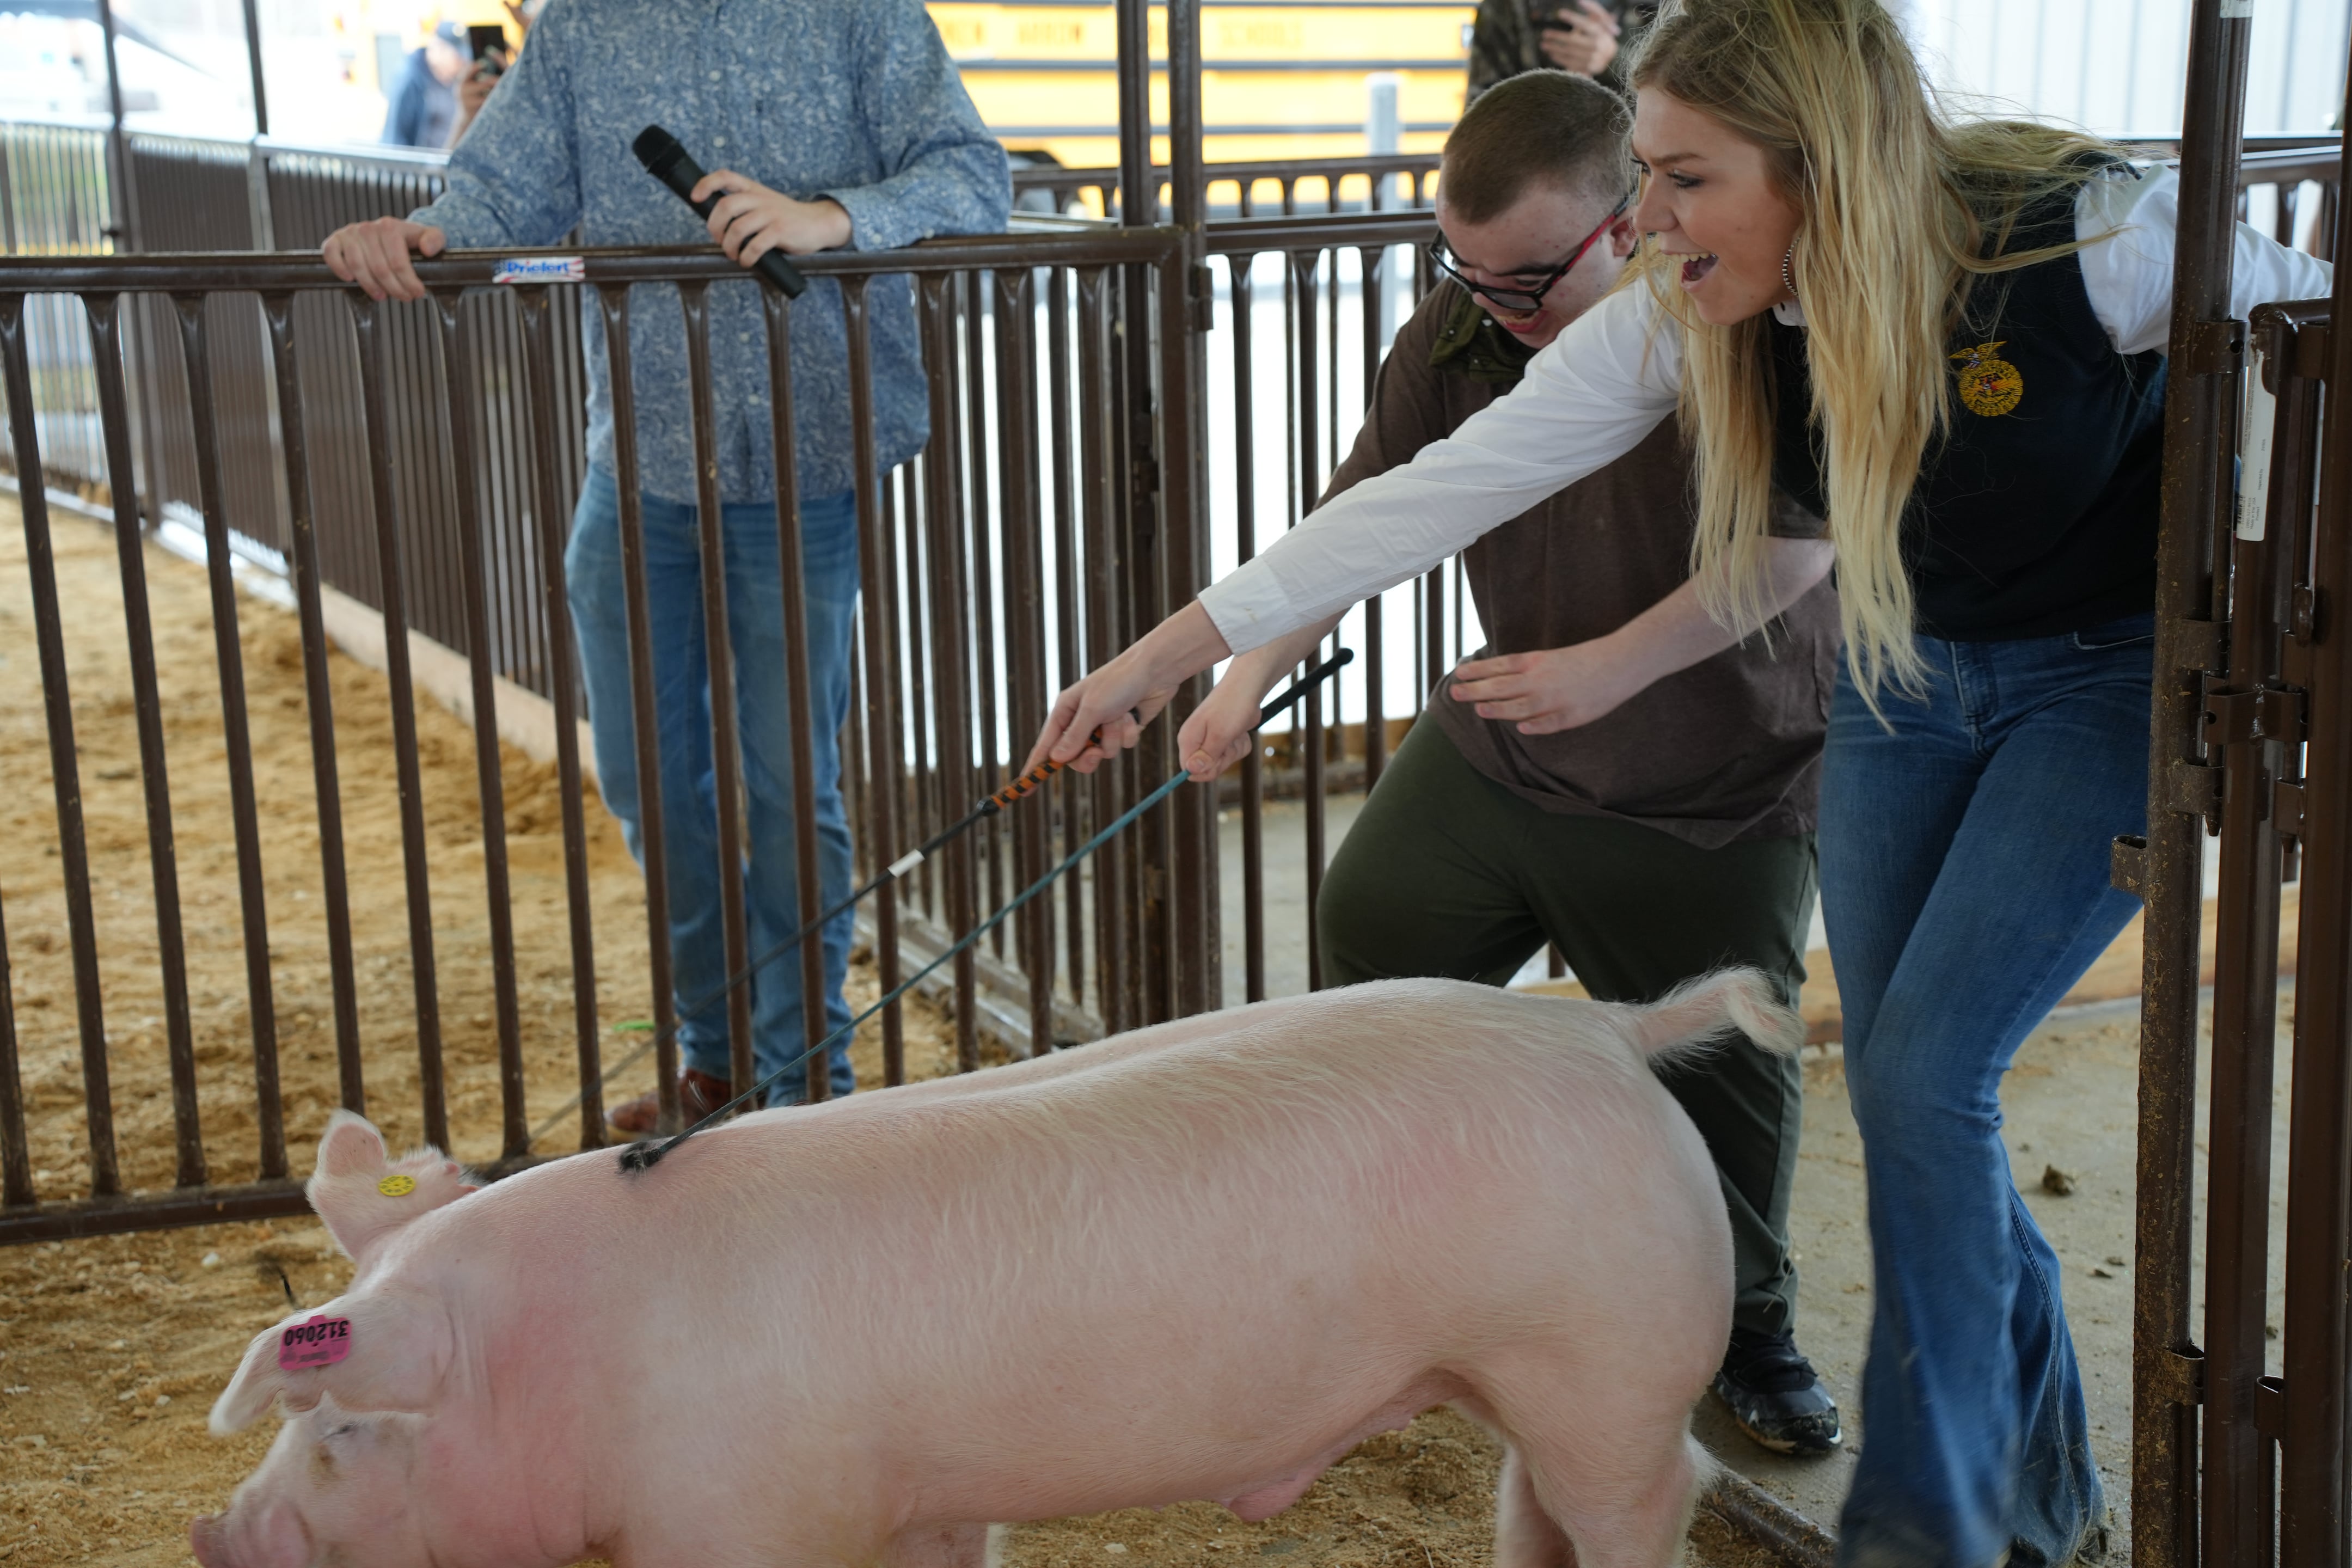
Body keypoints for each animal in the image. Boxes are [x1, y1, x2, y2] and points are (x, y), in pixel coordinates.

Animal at [193, 969, 1801, 1568]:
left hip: (1615, 1358)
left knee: (1650, 1494)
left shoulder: (733, 1521)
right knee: (1534, 1501)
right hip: (1525, 1366)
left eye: (339, 1432)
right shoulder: (927, 1502)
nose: (215, 1532)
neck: (575, 1353)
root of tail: (1611, 1029)